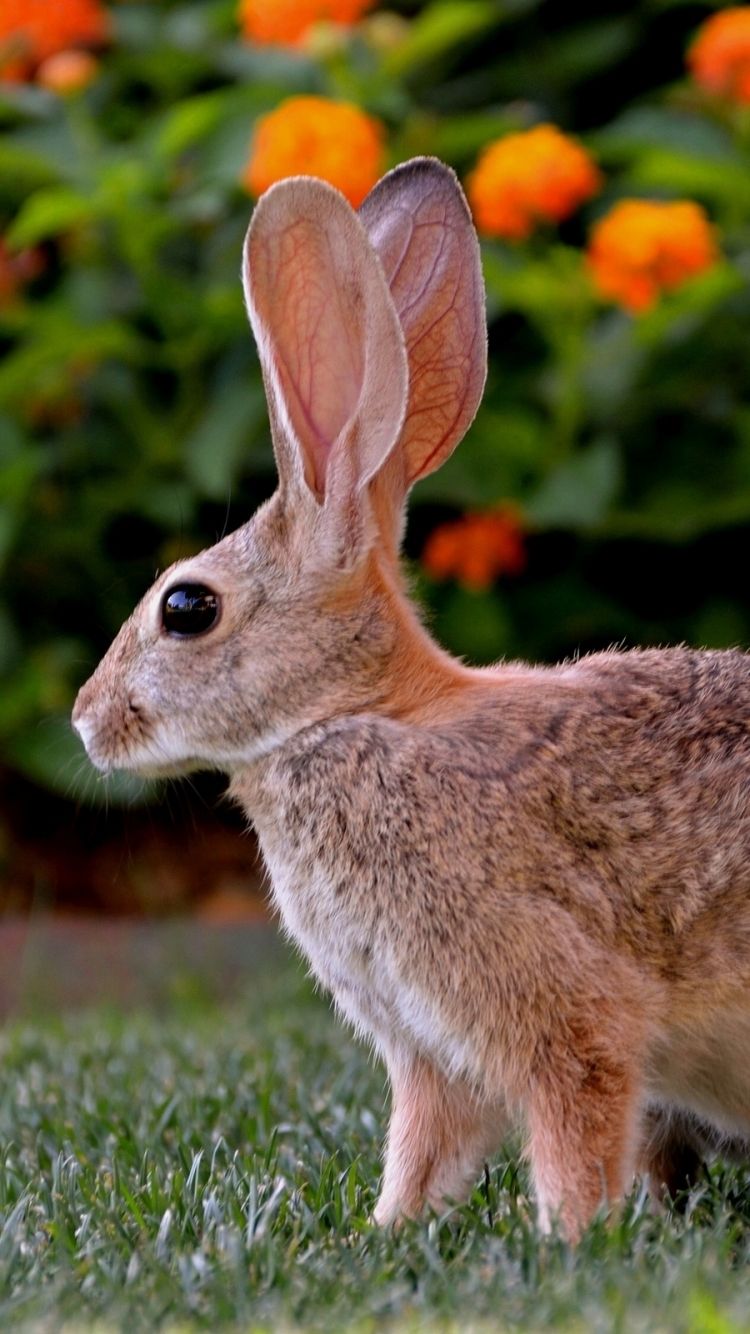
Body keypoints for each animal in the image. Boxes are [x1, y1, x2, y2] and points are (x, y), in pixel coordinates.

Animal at [72, 157, 750, 1241]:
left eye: (186, 607)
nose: (87, 721)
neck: (354, 717)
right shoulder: (428, 1049)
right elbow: (425, 1145)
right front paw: (387, 1231)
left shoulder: (554, 1008)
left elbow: (571, 1120)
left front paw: (564, 1241)